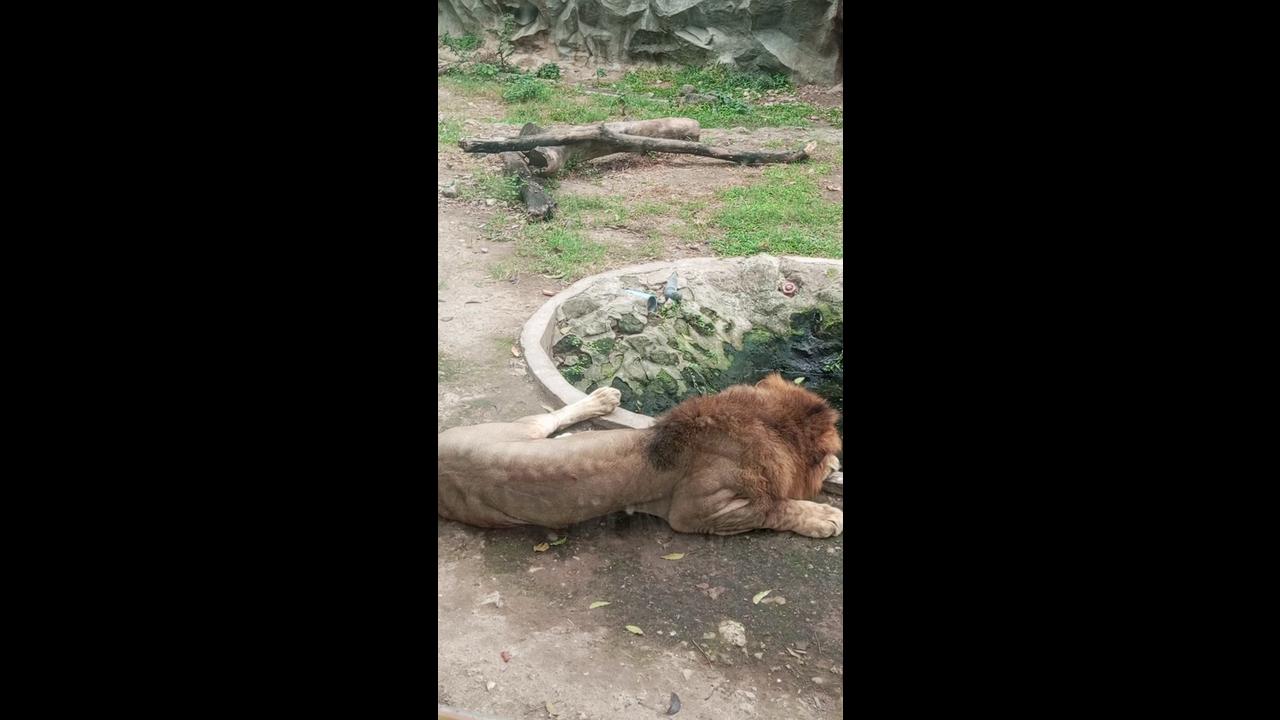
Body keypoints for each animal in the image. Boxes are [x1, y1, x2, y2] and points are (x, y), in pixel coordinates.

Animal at [437, 373, 843, 537]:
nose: (834, 462)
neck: (762, 421)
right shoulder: (697, 512)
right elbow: (773, 508)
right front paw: (824, 516)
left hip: (526, 431)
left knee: (554, 419)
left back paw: (600, 400)